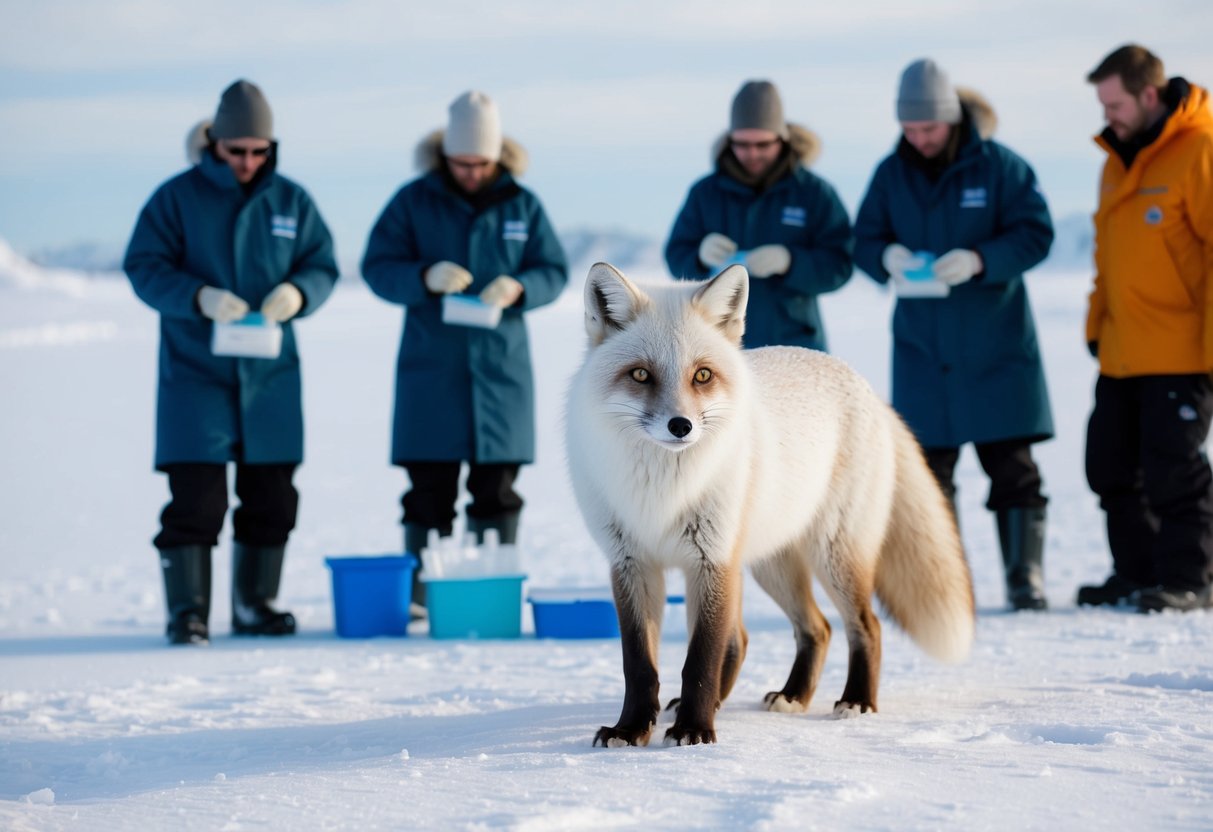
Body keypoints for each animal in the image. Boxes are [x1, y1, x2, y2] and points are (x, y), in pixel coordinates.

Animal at [565, 262, 975, 747]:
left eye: (702, 375)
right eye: (641, 375)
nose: (681, 426)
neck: (664, 488)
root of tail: (867, 388)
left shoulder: (712, 559)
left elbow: (699, 659)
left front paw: (695, 730)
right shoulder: (632, 563)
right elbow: (640, 665)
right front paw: (631, 728)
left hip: (832, 557)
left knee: (864, 625)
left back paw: (856, 701)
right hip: (768, 566)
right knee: (804, 630)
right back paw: (791, 695)